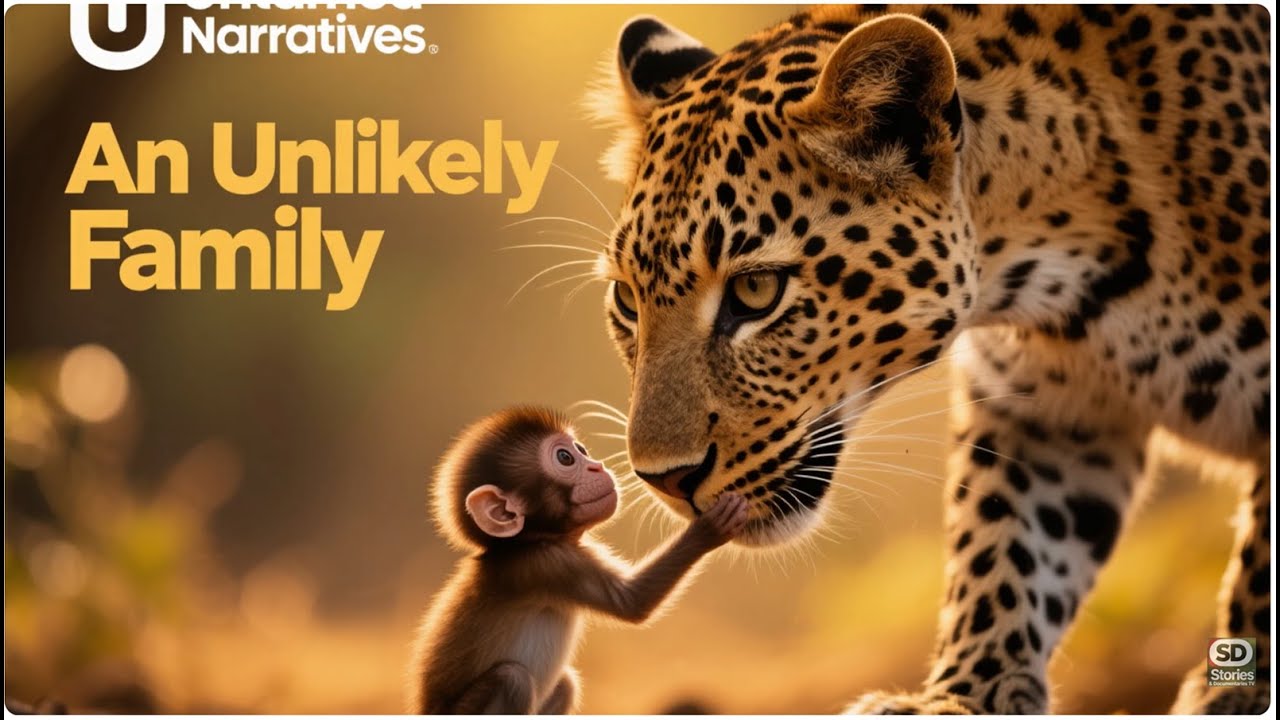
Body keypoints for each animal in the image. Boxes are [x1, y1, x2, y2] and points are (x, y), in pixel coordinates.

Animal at [409, 406, 748, 714]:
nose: (597, 467)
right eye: (565, 458)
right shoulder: (550, 562)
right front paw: (711, 526)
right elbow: (632, 601)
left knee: (564, 684)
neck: (520, 544)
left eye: (580, 450)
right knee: (513, 678)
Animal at [584, 4, 1271, 714]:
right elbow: (1007, 541)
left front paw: (1236, 699)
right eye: (627, 300)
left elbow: (1262, 566)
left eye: (756, 291)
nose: (666, 480)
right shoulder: (1048, 415)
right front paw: (965, 697)